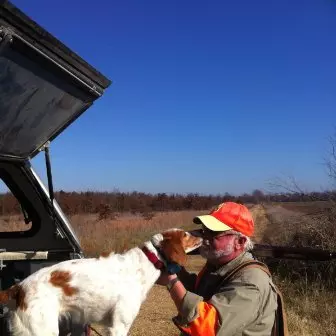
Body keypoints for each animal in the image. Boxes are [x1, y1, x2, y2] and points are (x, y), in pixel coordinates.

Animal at [0, 228, 202, 336]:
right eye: (185, 235)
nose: (200, 234)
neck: (146, 261)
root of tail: (19, 287)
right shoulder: (119, 325)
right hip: (42, 330)